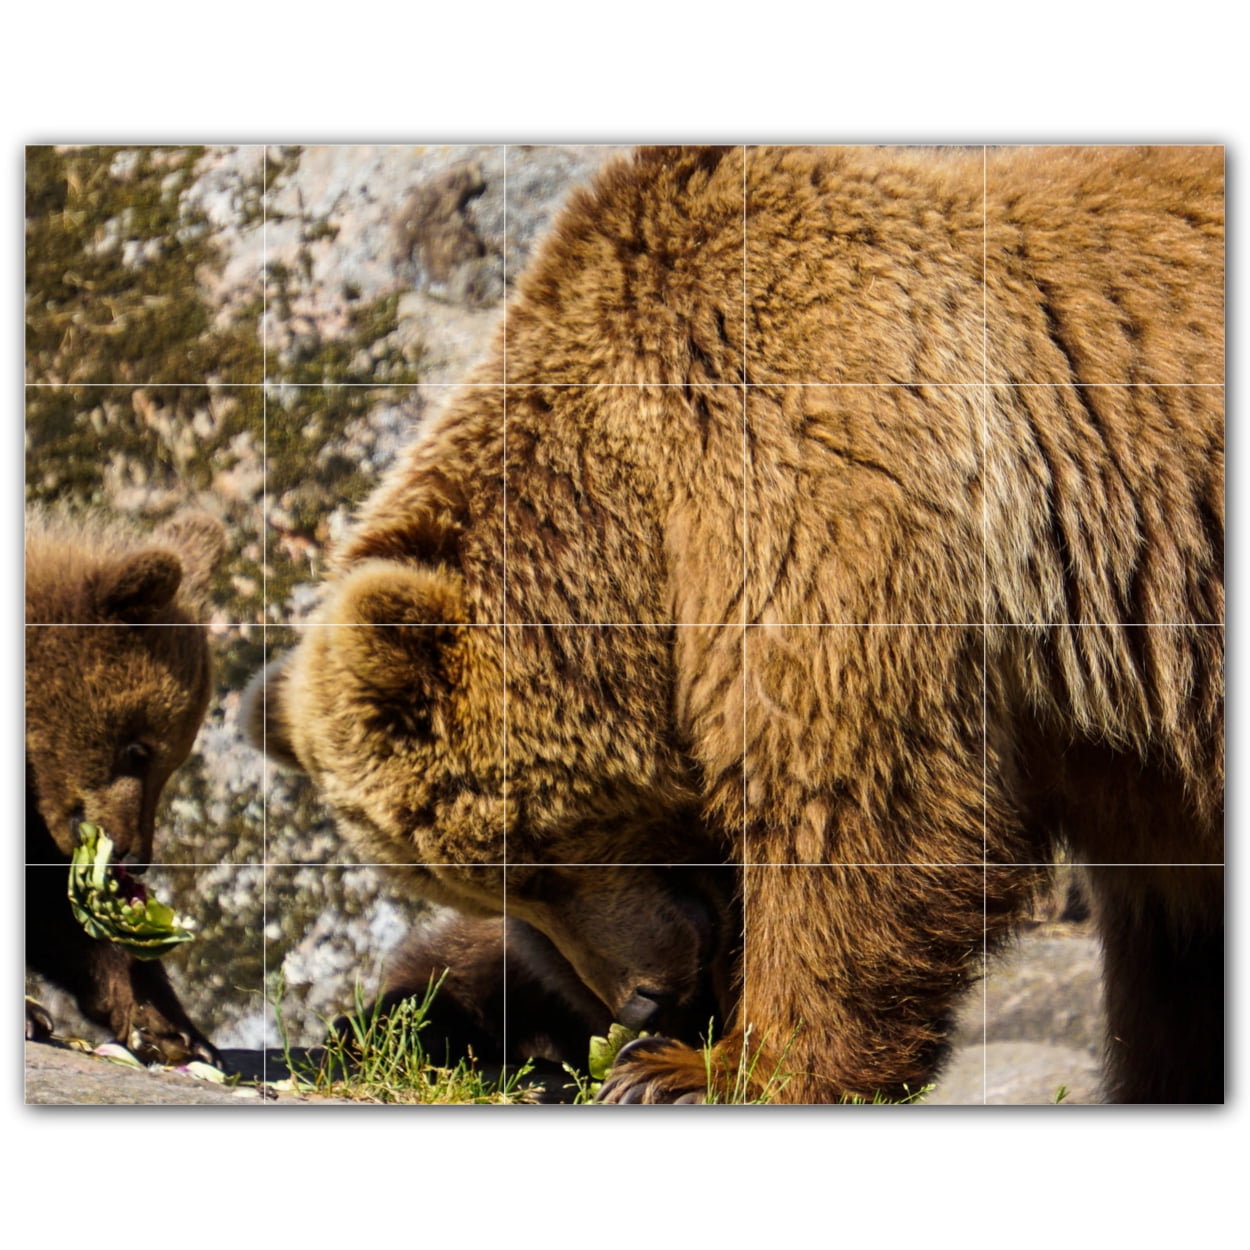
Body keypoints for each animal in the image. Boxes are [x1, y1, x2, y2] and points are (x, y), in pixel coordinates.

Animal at [249, 145, 1223, 1103]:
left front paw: (699, 1071)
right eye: (499, 891)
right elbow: (1171, 935)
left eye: (533, 859)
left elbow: (849, 797)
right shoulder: (1112, 716)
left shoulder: (819, 478)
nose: (641, 1002)